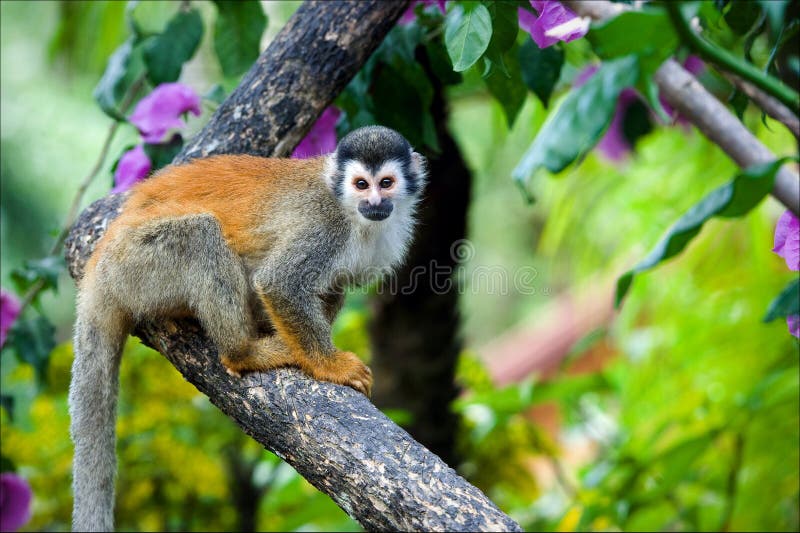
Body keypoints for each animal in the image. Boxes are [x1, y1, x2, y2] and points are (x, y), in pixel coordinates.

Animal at [68, 126, 427, 531]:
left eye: (386, 183)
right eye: (361, 184)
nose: (375, 202)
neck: (355, 217)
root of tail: (98, 268)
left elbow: (330, 286)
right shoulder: (325, 227)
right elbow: (280, 283)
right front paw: (328, 364)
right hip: (133, 263)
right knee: (201, 236)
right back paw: (243, 353)